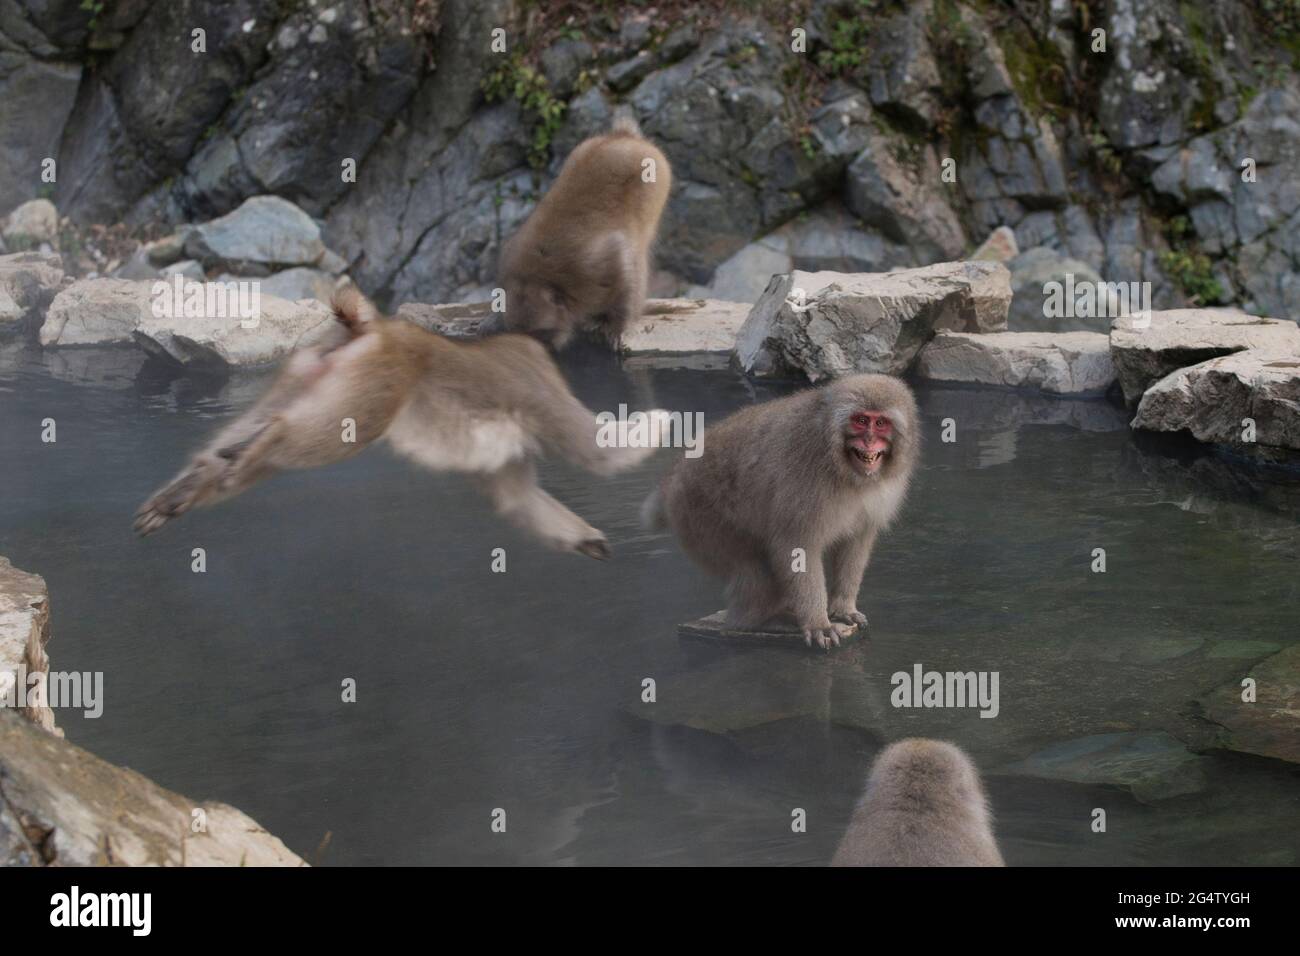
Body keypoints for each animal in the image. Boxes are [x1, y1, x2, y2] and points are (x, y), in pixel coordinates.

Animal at [134, 286, 670, 557]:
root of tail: (370, 330)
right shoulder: (536, 384)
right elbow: (598, 450)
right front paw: (663, 420)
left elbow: (516, 499)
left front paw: (585, 538)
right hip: (382, 379)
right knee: (310, 435)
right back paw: (259, 447)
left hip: (308, 369)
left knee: (264, 428)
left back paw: (198, 480)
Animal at [486, 111, 671, 349]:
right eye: (520, 333)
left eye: (540, 333)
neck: (539, 278)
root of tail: (623, 136)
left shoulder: (594, 268)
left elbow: (626, 274)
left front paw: (617, 328)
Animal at [643, 374, 918, 649]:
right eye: (861, 421)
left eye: (880, 423)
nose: (869, 440)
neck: (842, 466)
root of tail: (675, 475)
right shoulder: (805, 475)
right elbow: (796, 545)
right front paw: (818, 622)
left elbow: (856, 541)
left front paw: (842, 609)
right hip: (699, 515)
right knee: (751, 569)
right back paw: (758, 621)